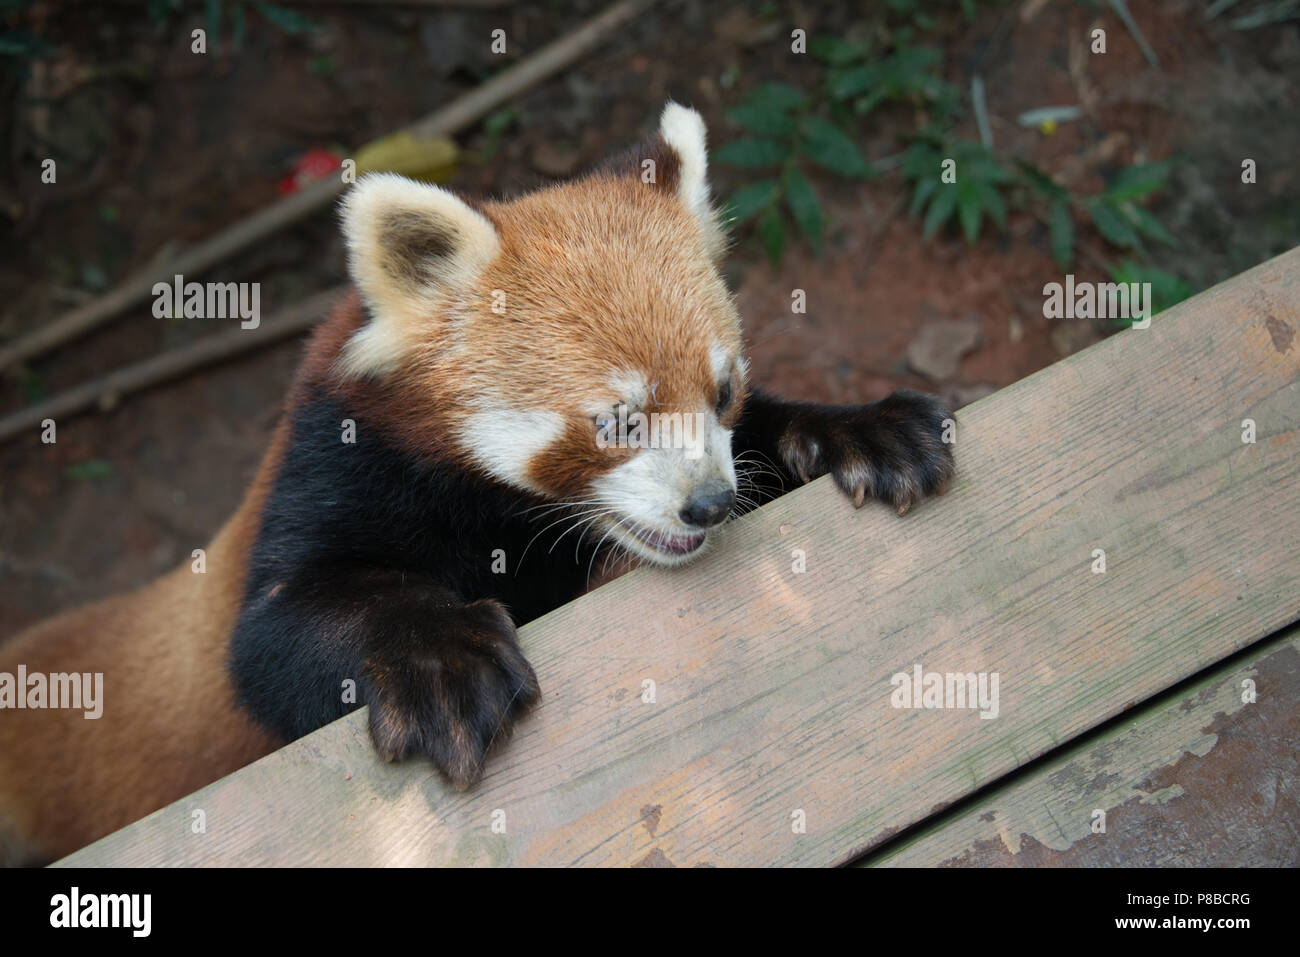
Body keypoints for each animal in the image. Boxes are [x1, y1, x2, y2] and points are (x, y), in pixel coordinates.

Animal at [0, 103, 953, 864]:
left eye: (722, 394)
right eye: (617, 422)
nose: (710, 504)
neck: (507, 516)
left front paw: (862, 427)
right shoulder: (332, 464)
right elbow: (279, 630)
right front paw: (443, 661)